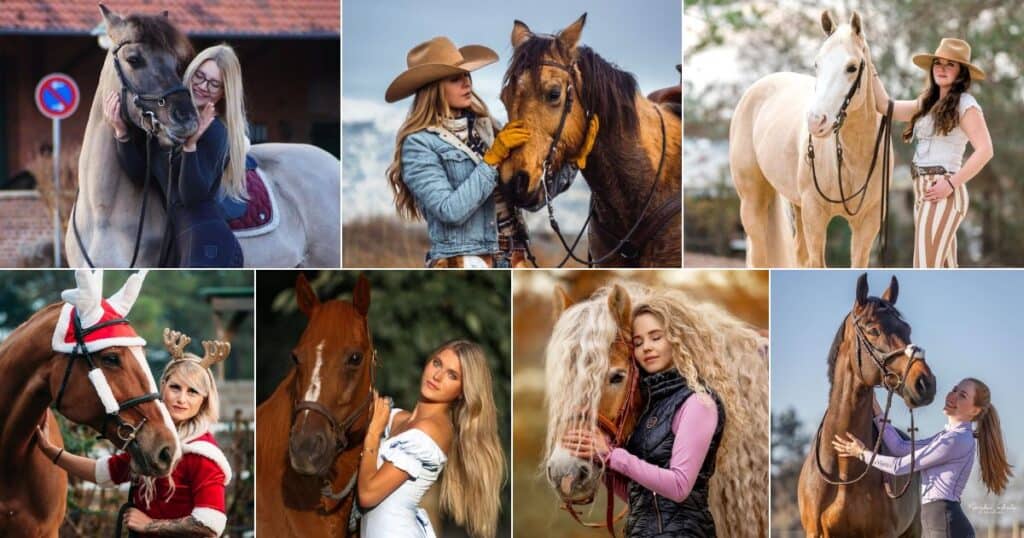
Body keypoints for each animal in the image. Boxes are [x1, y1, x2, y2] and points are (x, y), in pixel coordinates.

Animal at [729, 11, 893, 267]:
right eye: (818, 64)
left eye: (852, 67)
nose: (816, 121)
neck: (854, 158)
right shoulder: (815, 215)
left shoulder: (868, 223)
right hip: (753, 203)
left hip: (796, 206)